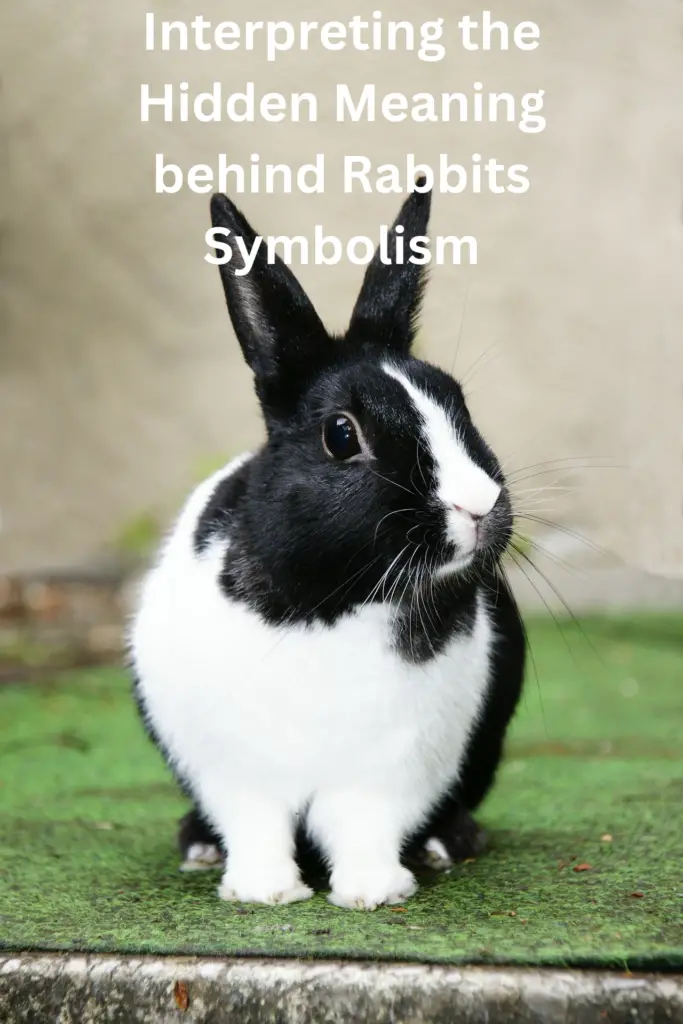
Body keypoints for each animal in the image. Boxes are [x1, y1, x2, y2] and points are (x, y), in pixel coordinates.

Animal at [130, 183, 526, 910]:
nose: (480, 505)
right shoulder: (236, 771)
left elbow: (365, 827)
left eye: (458, 402)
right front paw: (263, 892)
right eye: (342, 435)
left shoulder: (390, 770)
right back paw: (198, 846)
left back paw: (446, 843)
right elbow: (255, 826)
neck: (333, 600)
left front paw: (372, 892)